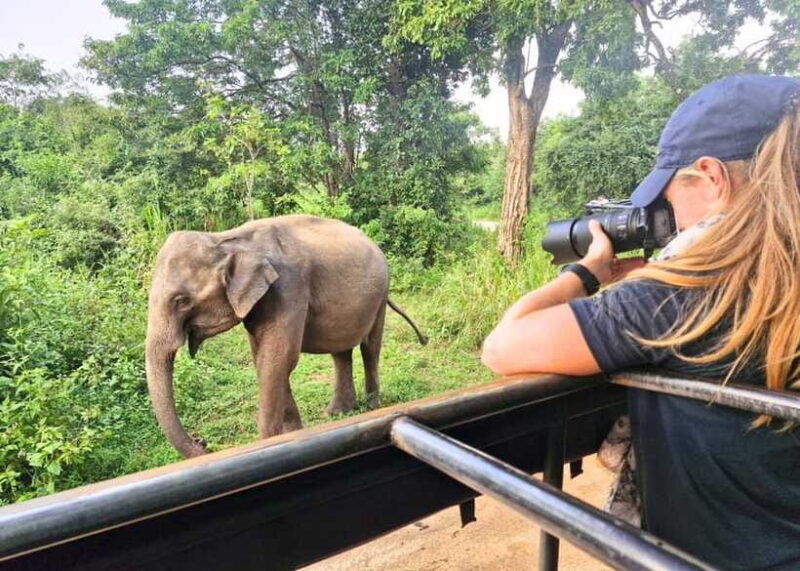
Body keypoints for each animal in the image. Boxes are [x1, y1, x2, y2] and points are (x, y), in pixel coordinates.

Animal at [145, 214, 427, 458]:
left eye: (181, 301)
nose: (202, 442)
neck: (227, 239)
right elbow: (265, 361)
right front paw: (291, 437)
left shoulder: (289, 288)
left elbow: (279, 359)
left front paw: (268, 445)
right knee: (341, 351)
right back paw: (338, 412)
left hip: (381, 292)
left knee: (370, 348)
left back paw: (371, 407)